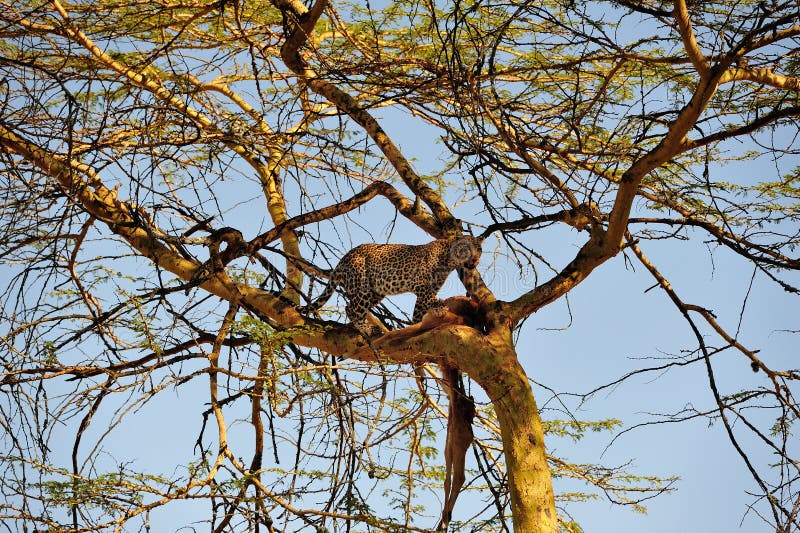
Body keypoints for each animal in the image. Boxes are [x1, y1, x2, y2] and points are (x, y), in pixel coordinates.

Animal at [302, 236, 483, 335]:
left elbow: (420, 310)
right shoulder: (420, 283)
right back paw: (366, 329)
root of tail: (343, 259)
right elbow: (431, 297)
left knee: (352, 307)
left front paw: (417, 323)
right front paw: (440, 307)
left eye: (479, 249)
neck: (449, 261)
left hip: (376, 292)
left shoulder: (425, 290)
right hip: (362, 286)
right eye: (466, 248)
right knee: (351, 308)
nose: (475, 259)